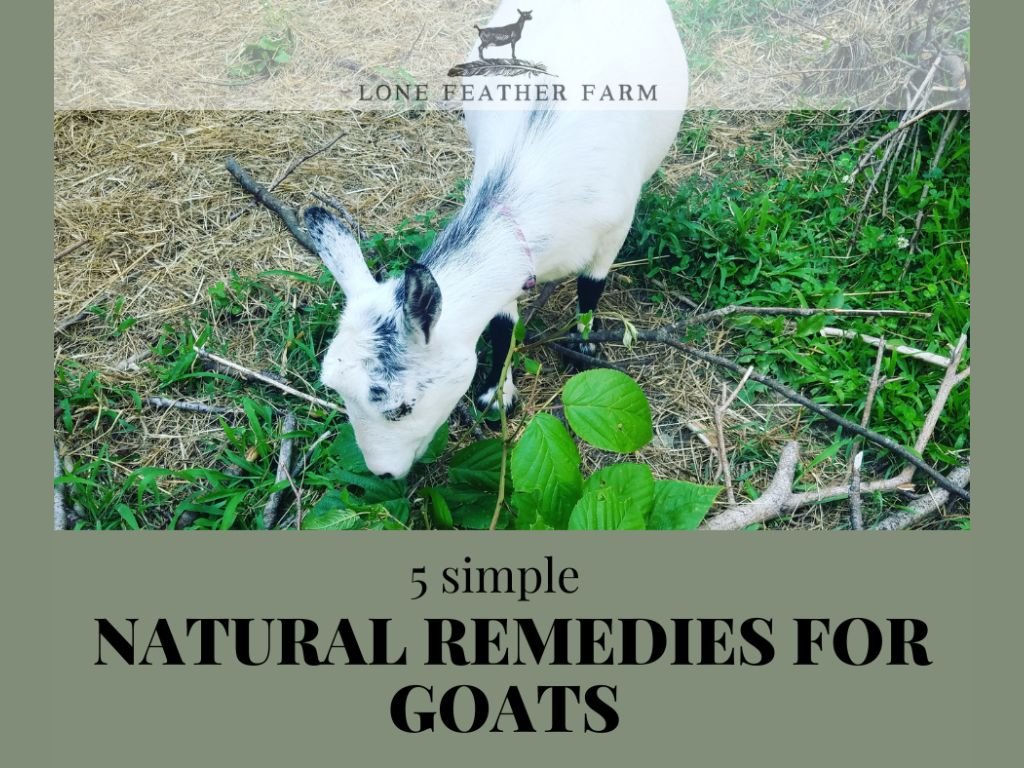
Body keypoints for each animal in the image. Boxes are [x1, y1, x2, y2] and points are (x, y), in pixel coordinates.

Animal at [305, 0, 688, 478]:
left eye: (402, 408)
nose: (383, 474)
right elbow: (503, 327)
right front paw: (496, 396)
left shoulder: (614, 230)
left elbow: (591, 285)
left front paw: (584, 342)